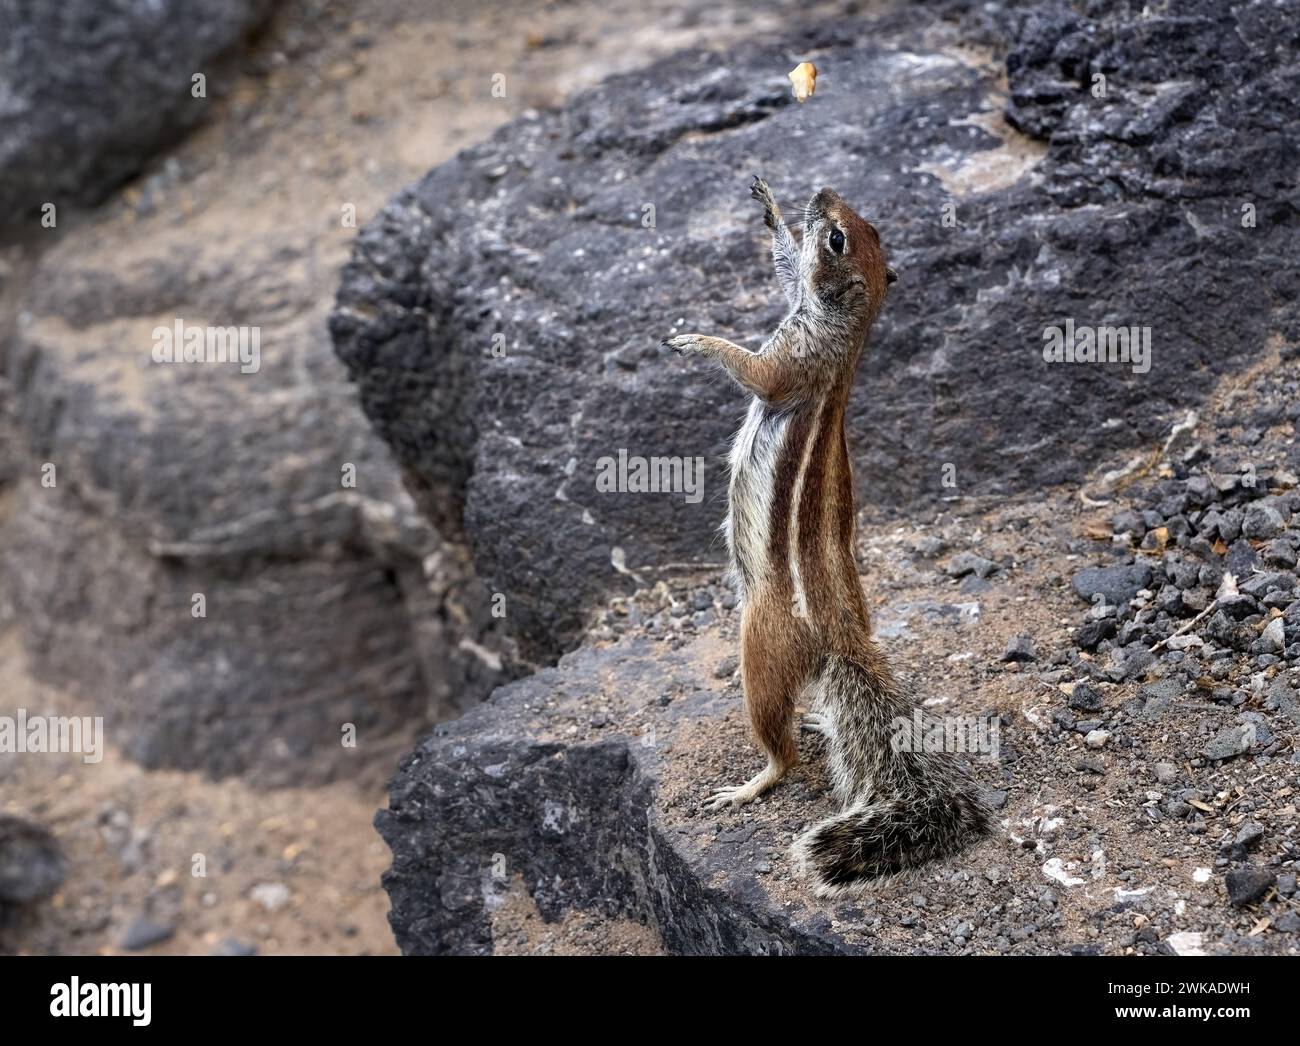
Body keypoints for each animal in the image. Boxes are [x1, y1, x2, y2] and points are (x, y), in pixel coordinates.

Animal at [662, 177, 988, 894]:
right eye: (866, 225)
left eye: (838, 238)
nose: (822, 193)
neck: (844, 332)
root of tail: (844, 640)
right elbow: (786, 267)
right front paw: (772, 212)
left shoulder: (792, 364)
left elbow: (754, 371)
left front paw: (698, 340)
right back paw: (818, 716)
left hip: (758, 646)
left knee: (778, 749)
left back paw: (750, 784)